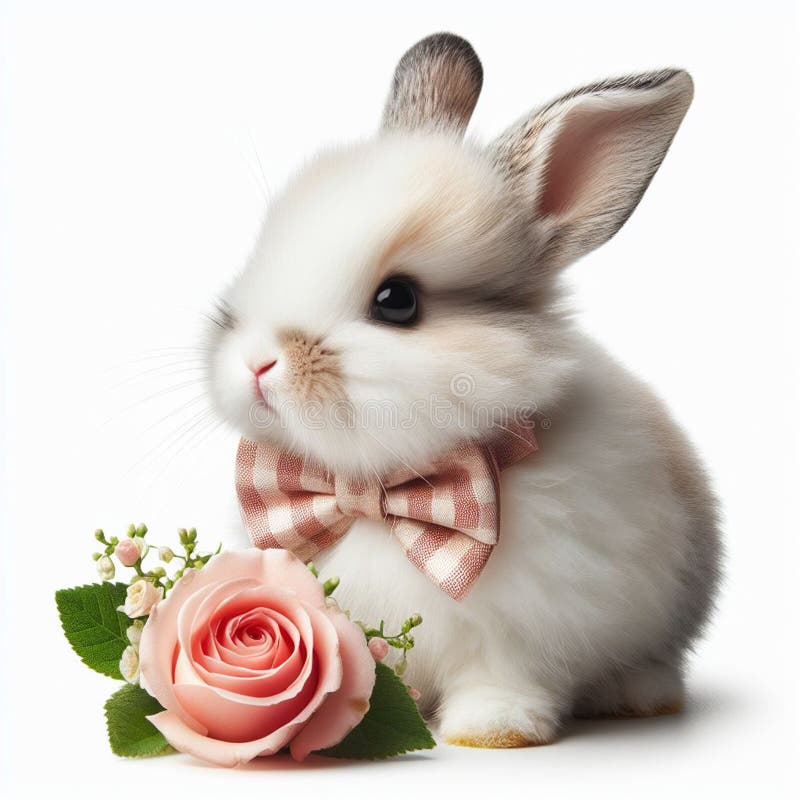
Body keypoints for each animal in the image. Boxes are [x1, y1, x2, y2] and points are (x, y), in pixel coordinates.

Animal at [205, 33, 721, 748]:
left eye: (398, 301)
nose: (258, 365)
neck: (387, 498)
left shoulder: (527, 623)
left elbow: (502, 676)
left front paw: (493, 731)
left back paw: (638, 697)